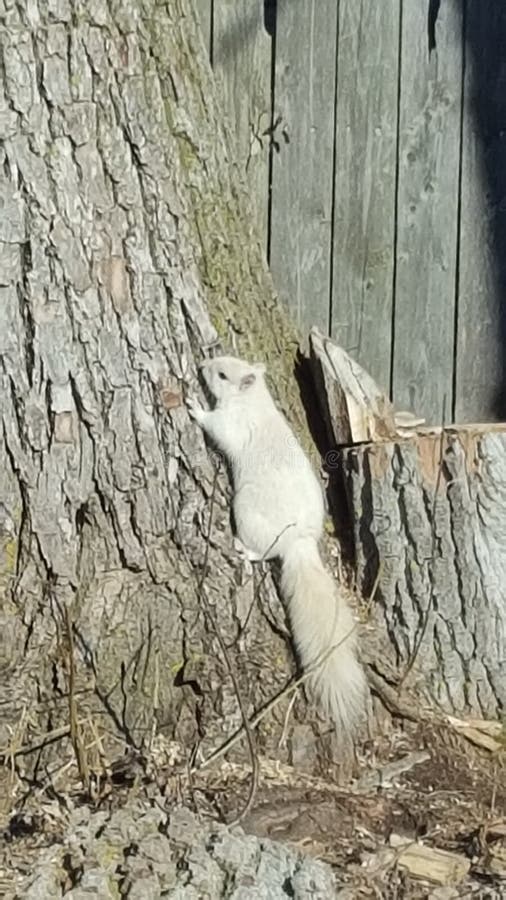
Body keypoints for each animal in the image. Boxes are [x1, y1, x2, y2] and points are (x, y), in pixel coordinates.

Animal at [187, 355, 367, 737]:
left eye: (222, 374)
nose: (203, 364)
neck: (252, 400)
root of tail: (298, 543)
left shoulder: (235, 425)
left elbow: (217, 428)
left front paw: (195, 406)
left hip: (247, 511)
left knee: (265, 552)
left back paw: (245, 550)